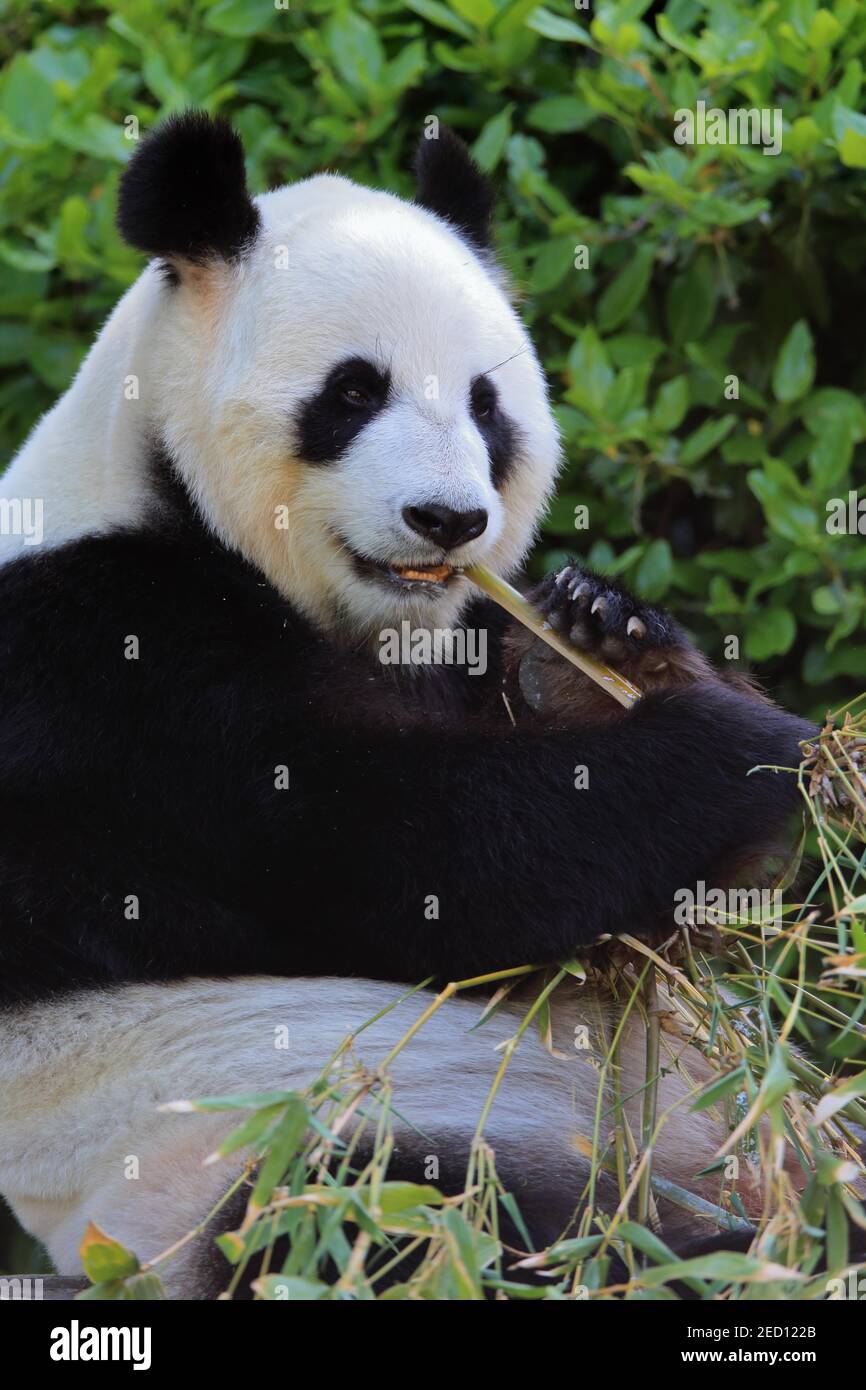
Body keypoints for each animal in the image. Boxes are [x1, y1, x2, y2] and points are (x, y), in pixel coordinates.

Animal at [0, 113, 813, 1299]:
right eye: (352, 393)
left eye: (485, 402)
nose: (448, 519)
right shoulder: (97, 675)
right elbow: (410, 855)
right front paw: (754, 750)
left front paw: (598, 643)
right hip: (271, 1166)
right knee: (431, 1223)